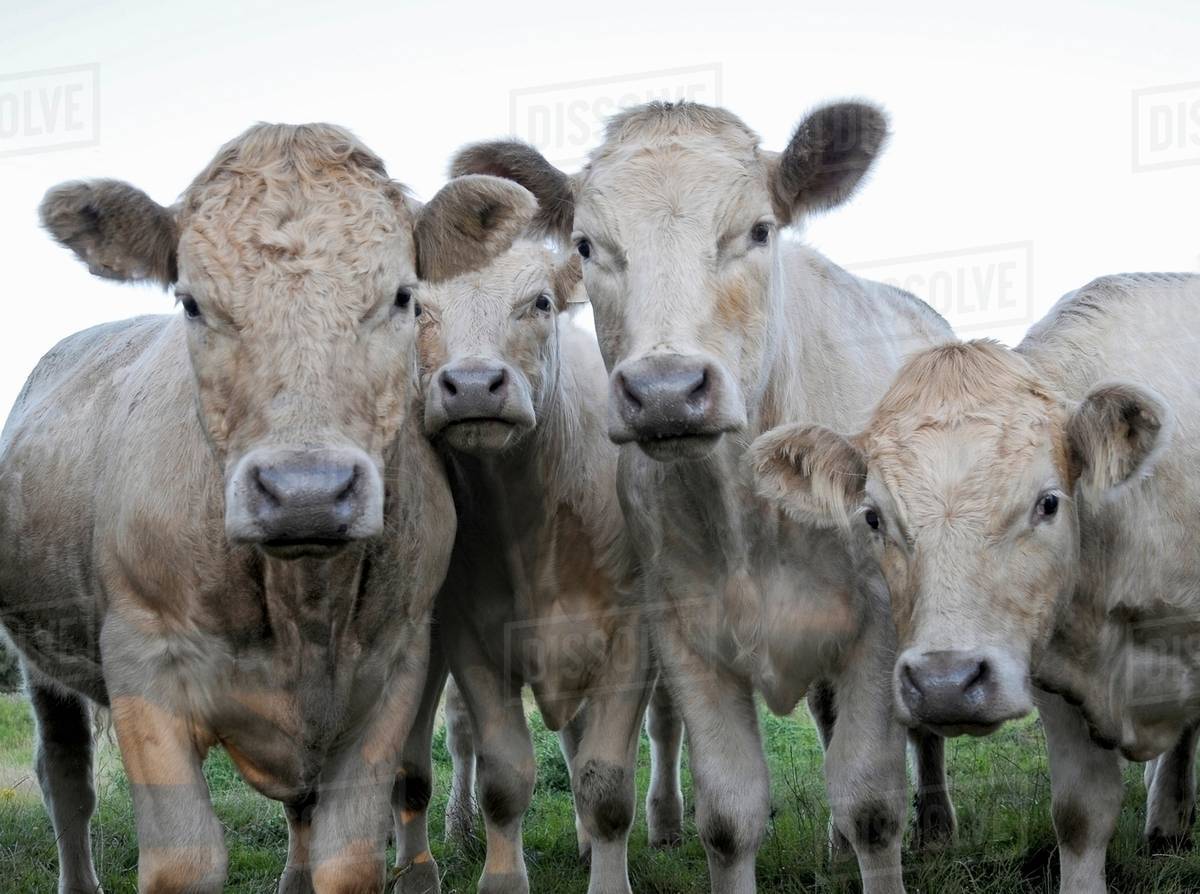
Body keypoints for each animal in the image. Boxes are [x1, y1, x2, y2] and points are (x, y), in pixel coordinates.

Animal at [1, 124, 538, 893]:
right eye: (193, 303)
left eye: (402, 296)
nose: (306, 490)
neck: (303, 605)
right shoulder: (142, 662)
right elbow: (184, 862)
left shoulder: (396, 668)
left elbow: (349, 856)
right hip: (40, 660)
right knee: (66, 779)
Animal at [388, 199, 681, 894]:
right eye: (418, 306)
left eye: (541, 302)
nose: (472, 385)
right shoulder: (470, 637)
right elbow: (504, 777)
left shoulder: (633, 637)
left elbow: (607, 785)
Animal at [451, 100, 957, 893]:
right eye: (588, 245)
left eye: (758, 229)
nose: (665, 391)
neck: (752, 507)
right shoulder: (684, 634)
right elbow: (727, 816)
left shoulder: (876, 629)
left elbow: (873, 806)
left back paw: (935, 821)